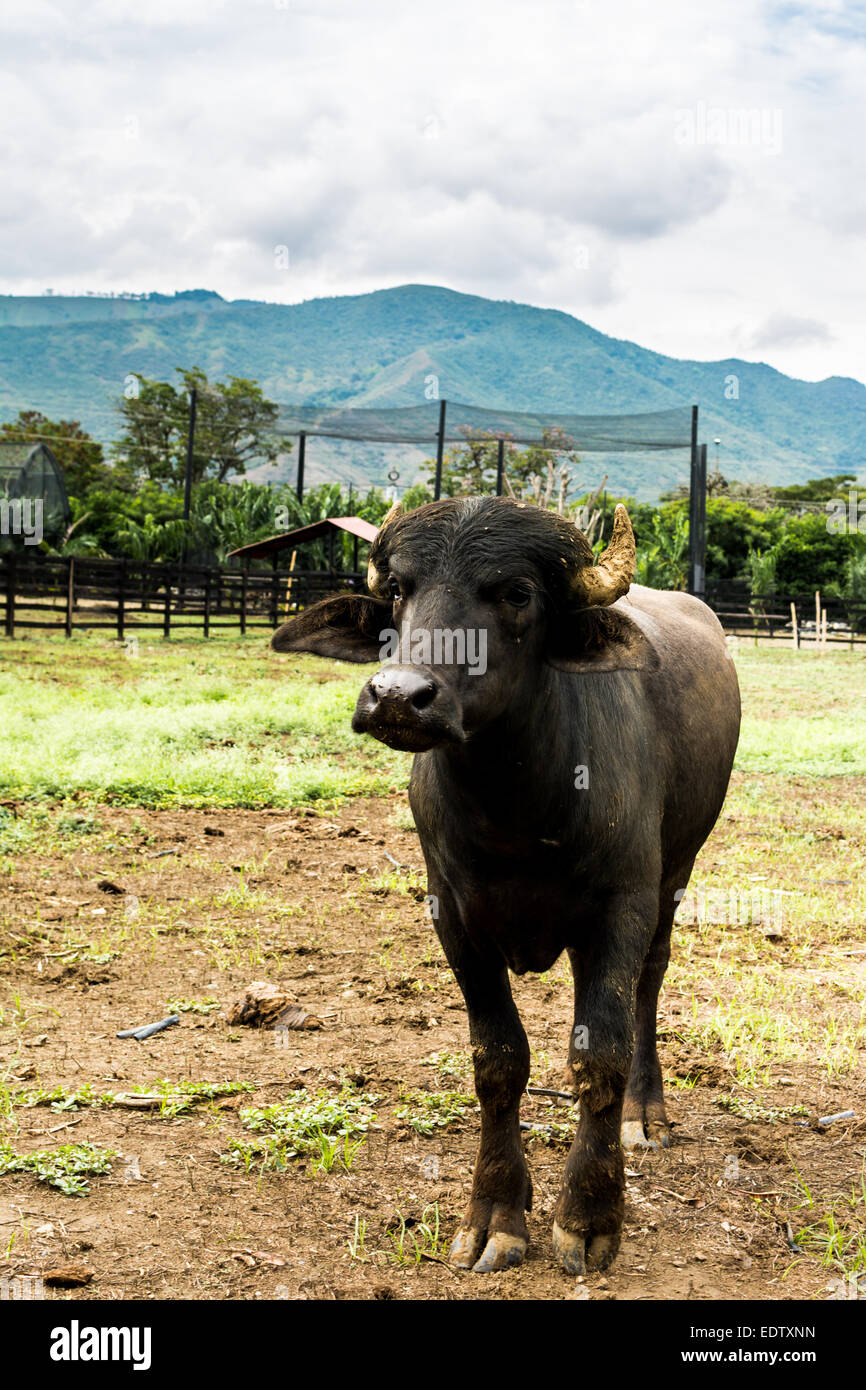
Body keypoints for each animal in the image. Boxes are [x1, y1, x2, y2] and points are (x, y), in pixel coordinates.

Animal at [272, 496, 740, 1276]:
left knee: (648, 982)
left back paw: (645, 1114)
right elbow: (498, 1060)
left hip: (678, 870)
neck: (515, 806)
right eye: (396, 589)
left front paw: (589, 1216)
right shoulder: (454, 916)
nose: (398, 697)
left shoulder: (623, 903)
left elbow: (600, 1052)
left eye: (517, 593)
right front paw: (495, 1213)